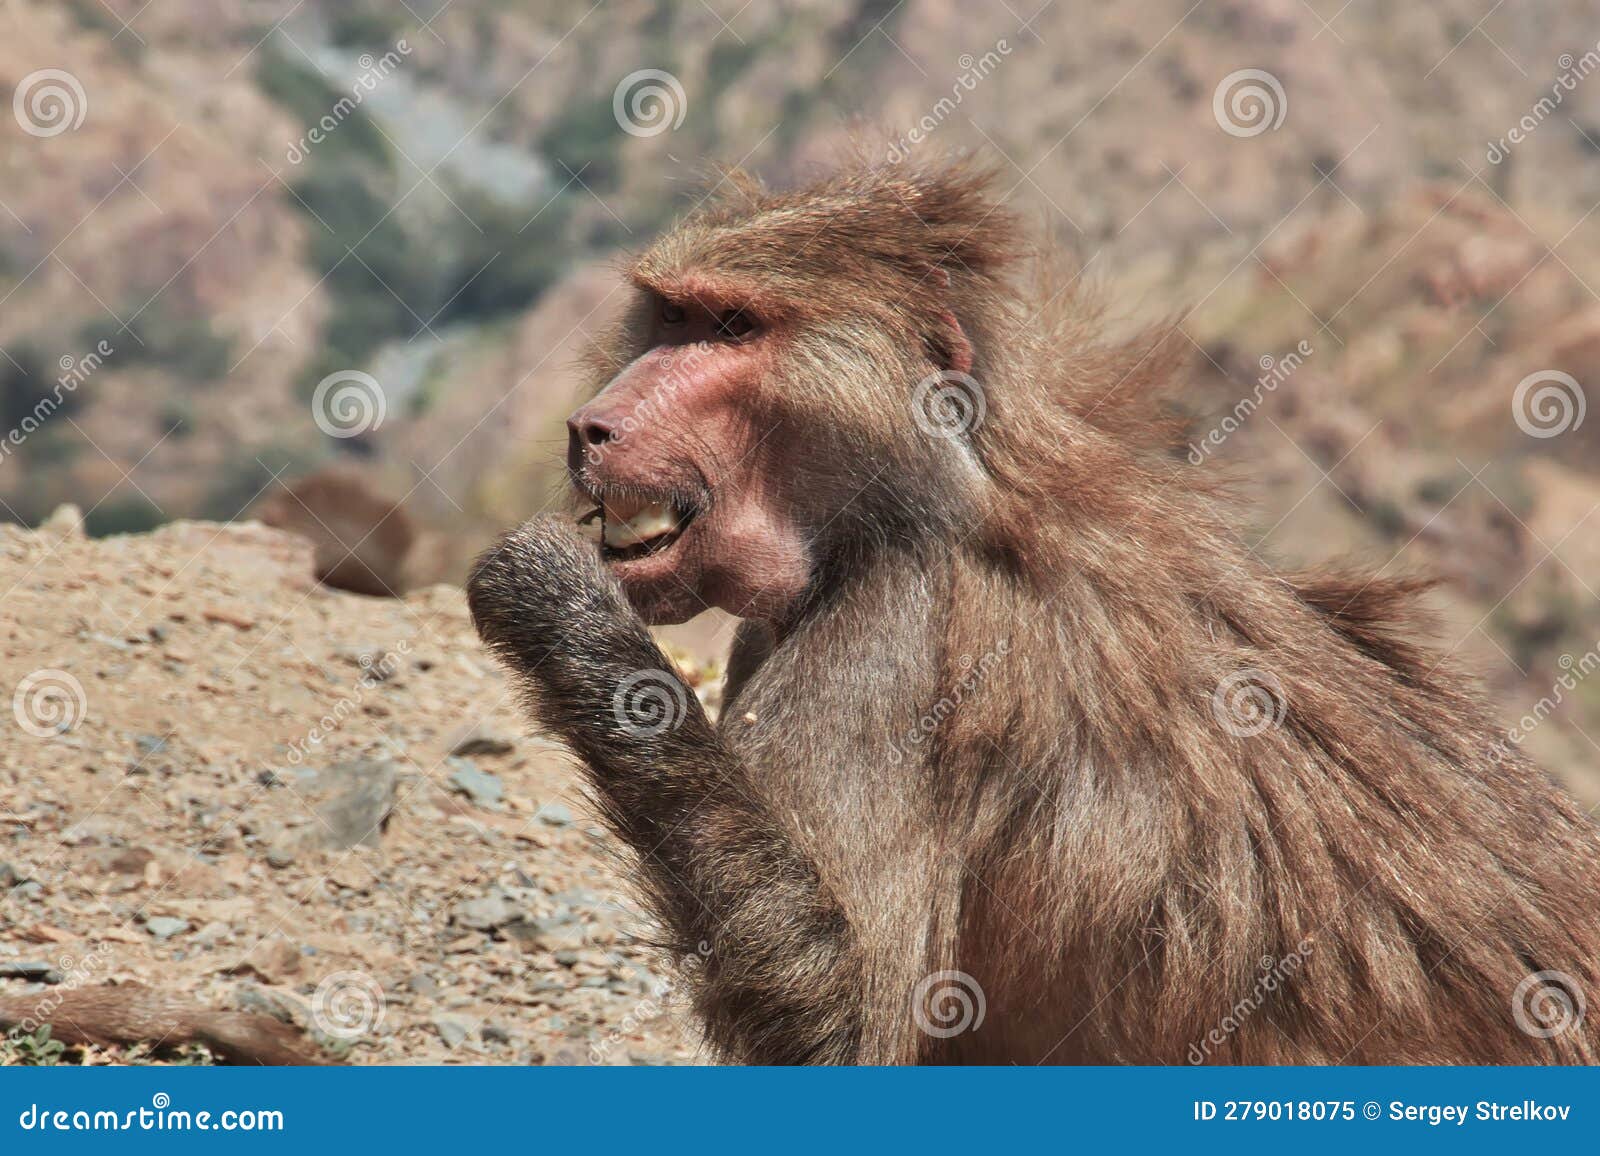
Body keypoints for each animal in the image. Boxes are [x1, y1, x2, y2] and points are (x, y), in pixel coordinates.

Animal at [467, 158, 1600, 1065]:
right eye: (669, 317)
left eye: (731, 327)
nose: (591, 426)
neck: (911, 501)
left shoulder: (896, 639)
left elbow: (845, 1011)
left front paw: (557, 603)